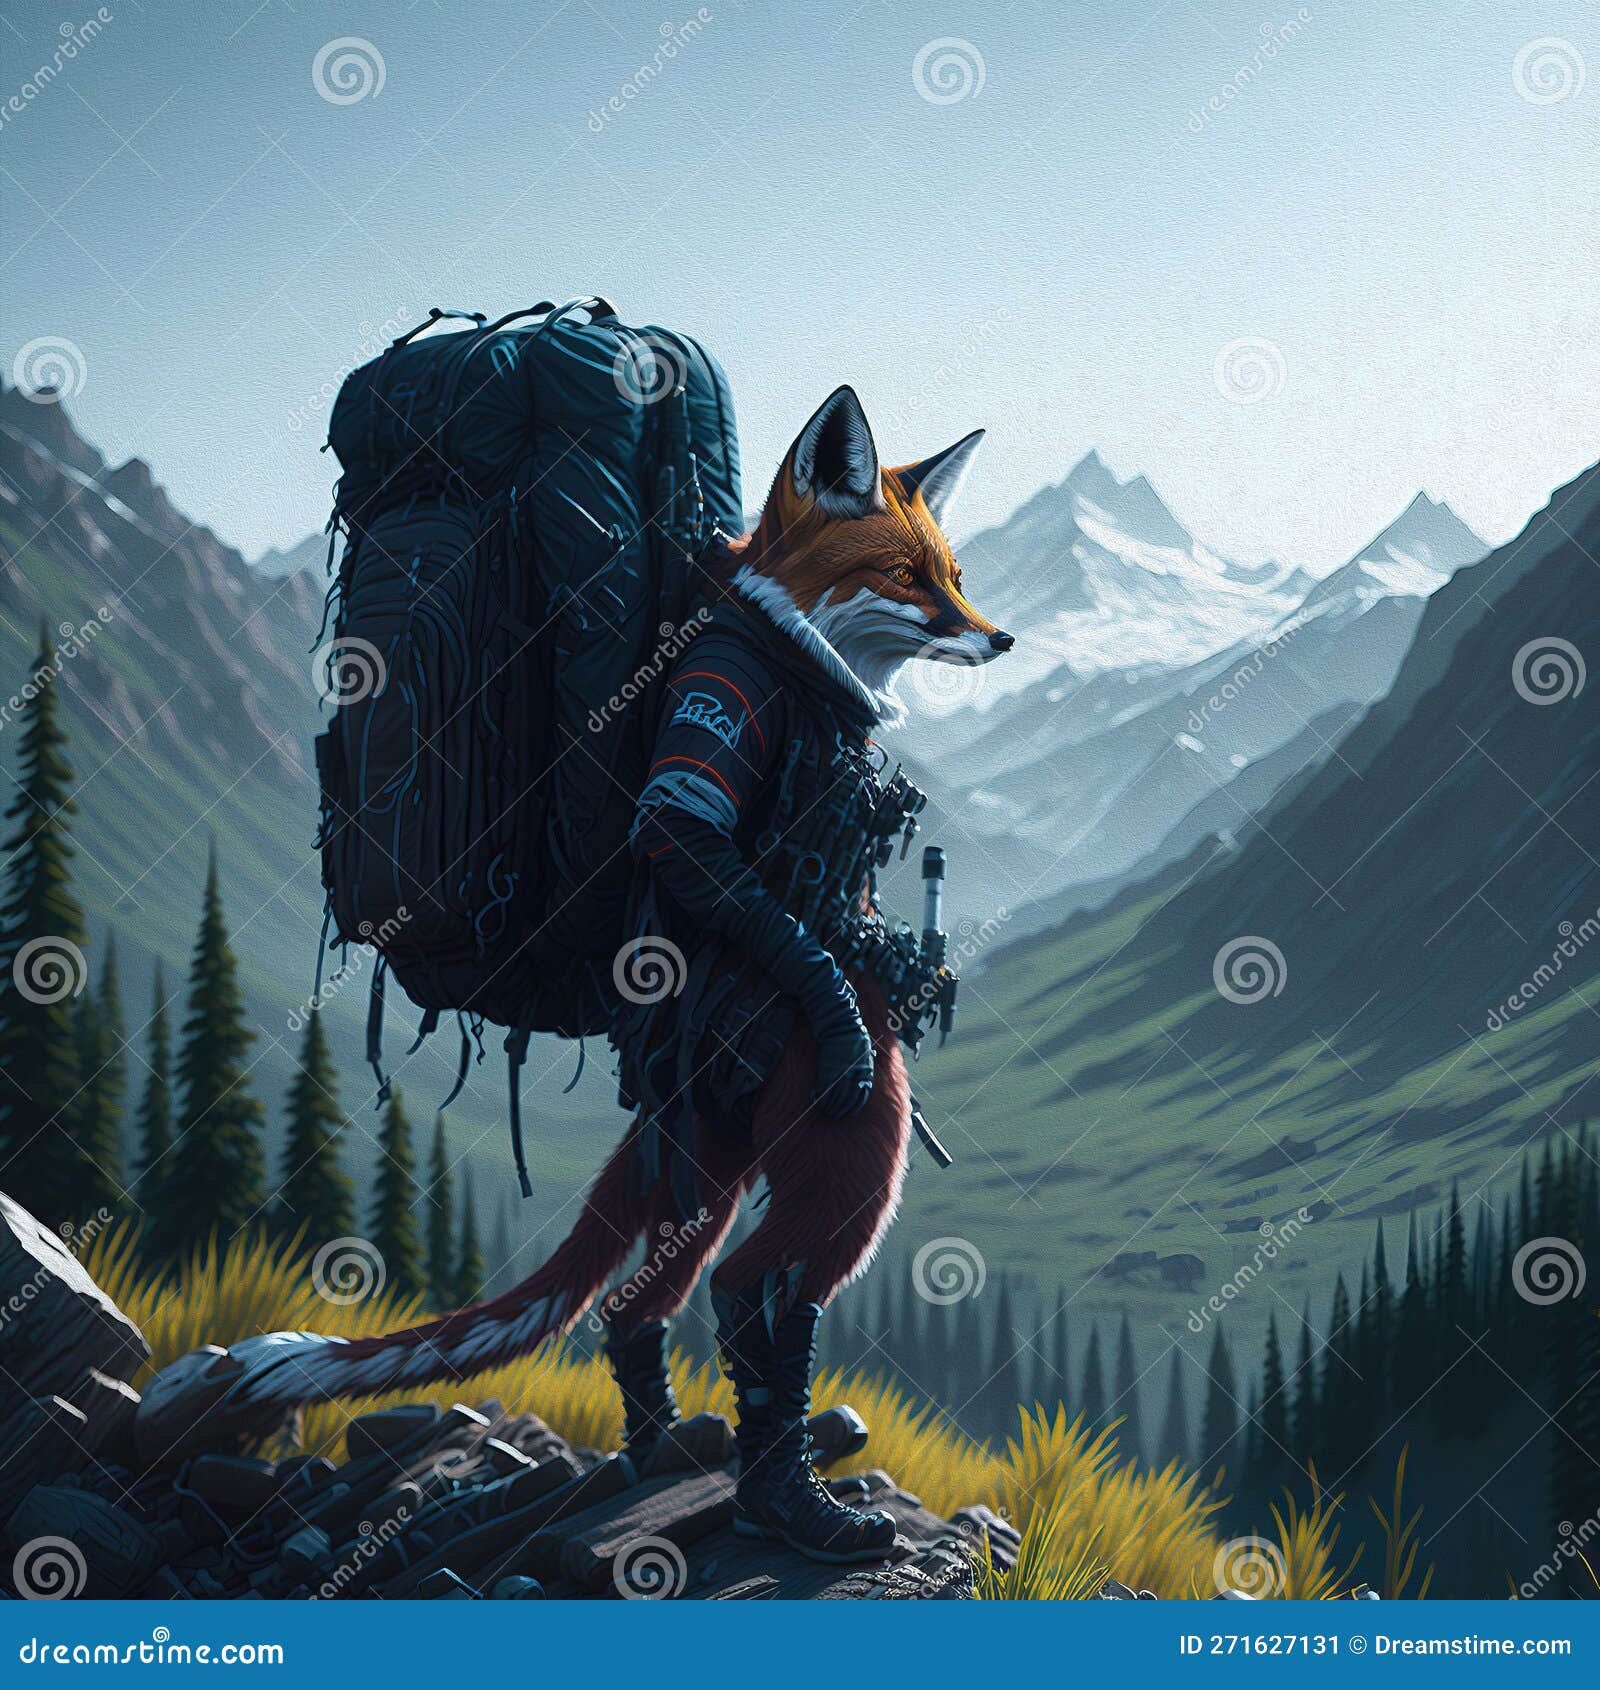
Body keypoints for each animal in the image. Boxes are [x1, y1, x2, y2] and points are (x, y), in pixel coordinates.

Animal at [140, 386, 1012, 1562]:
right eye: (907, 576)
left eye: (953, 573)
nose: (999, 635)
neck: (788, 653)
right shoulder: (713, 737)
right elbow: (680, 831)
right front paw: (842, 999)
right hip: (820, 1145)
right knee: (756, 1284)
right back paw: (783, 1502)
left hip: (703, 1162)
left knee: (632, 1306)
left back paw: (663, 1450)